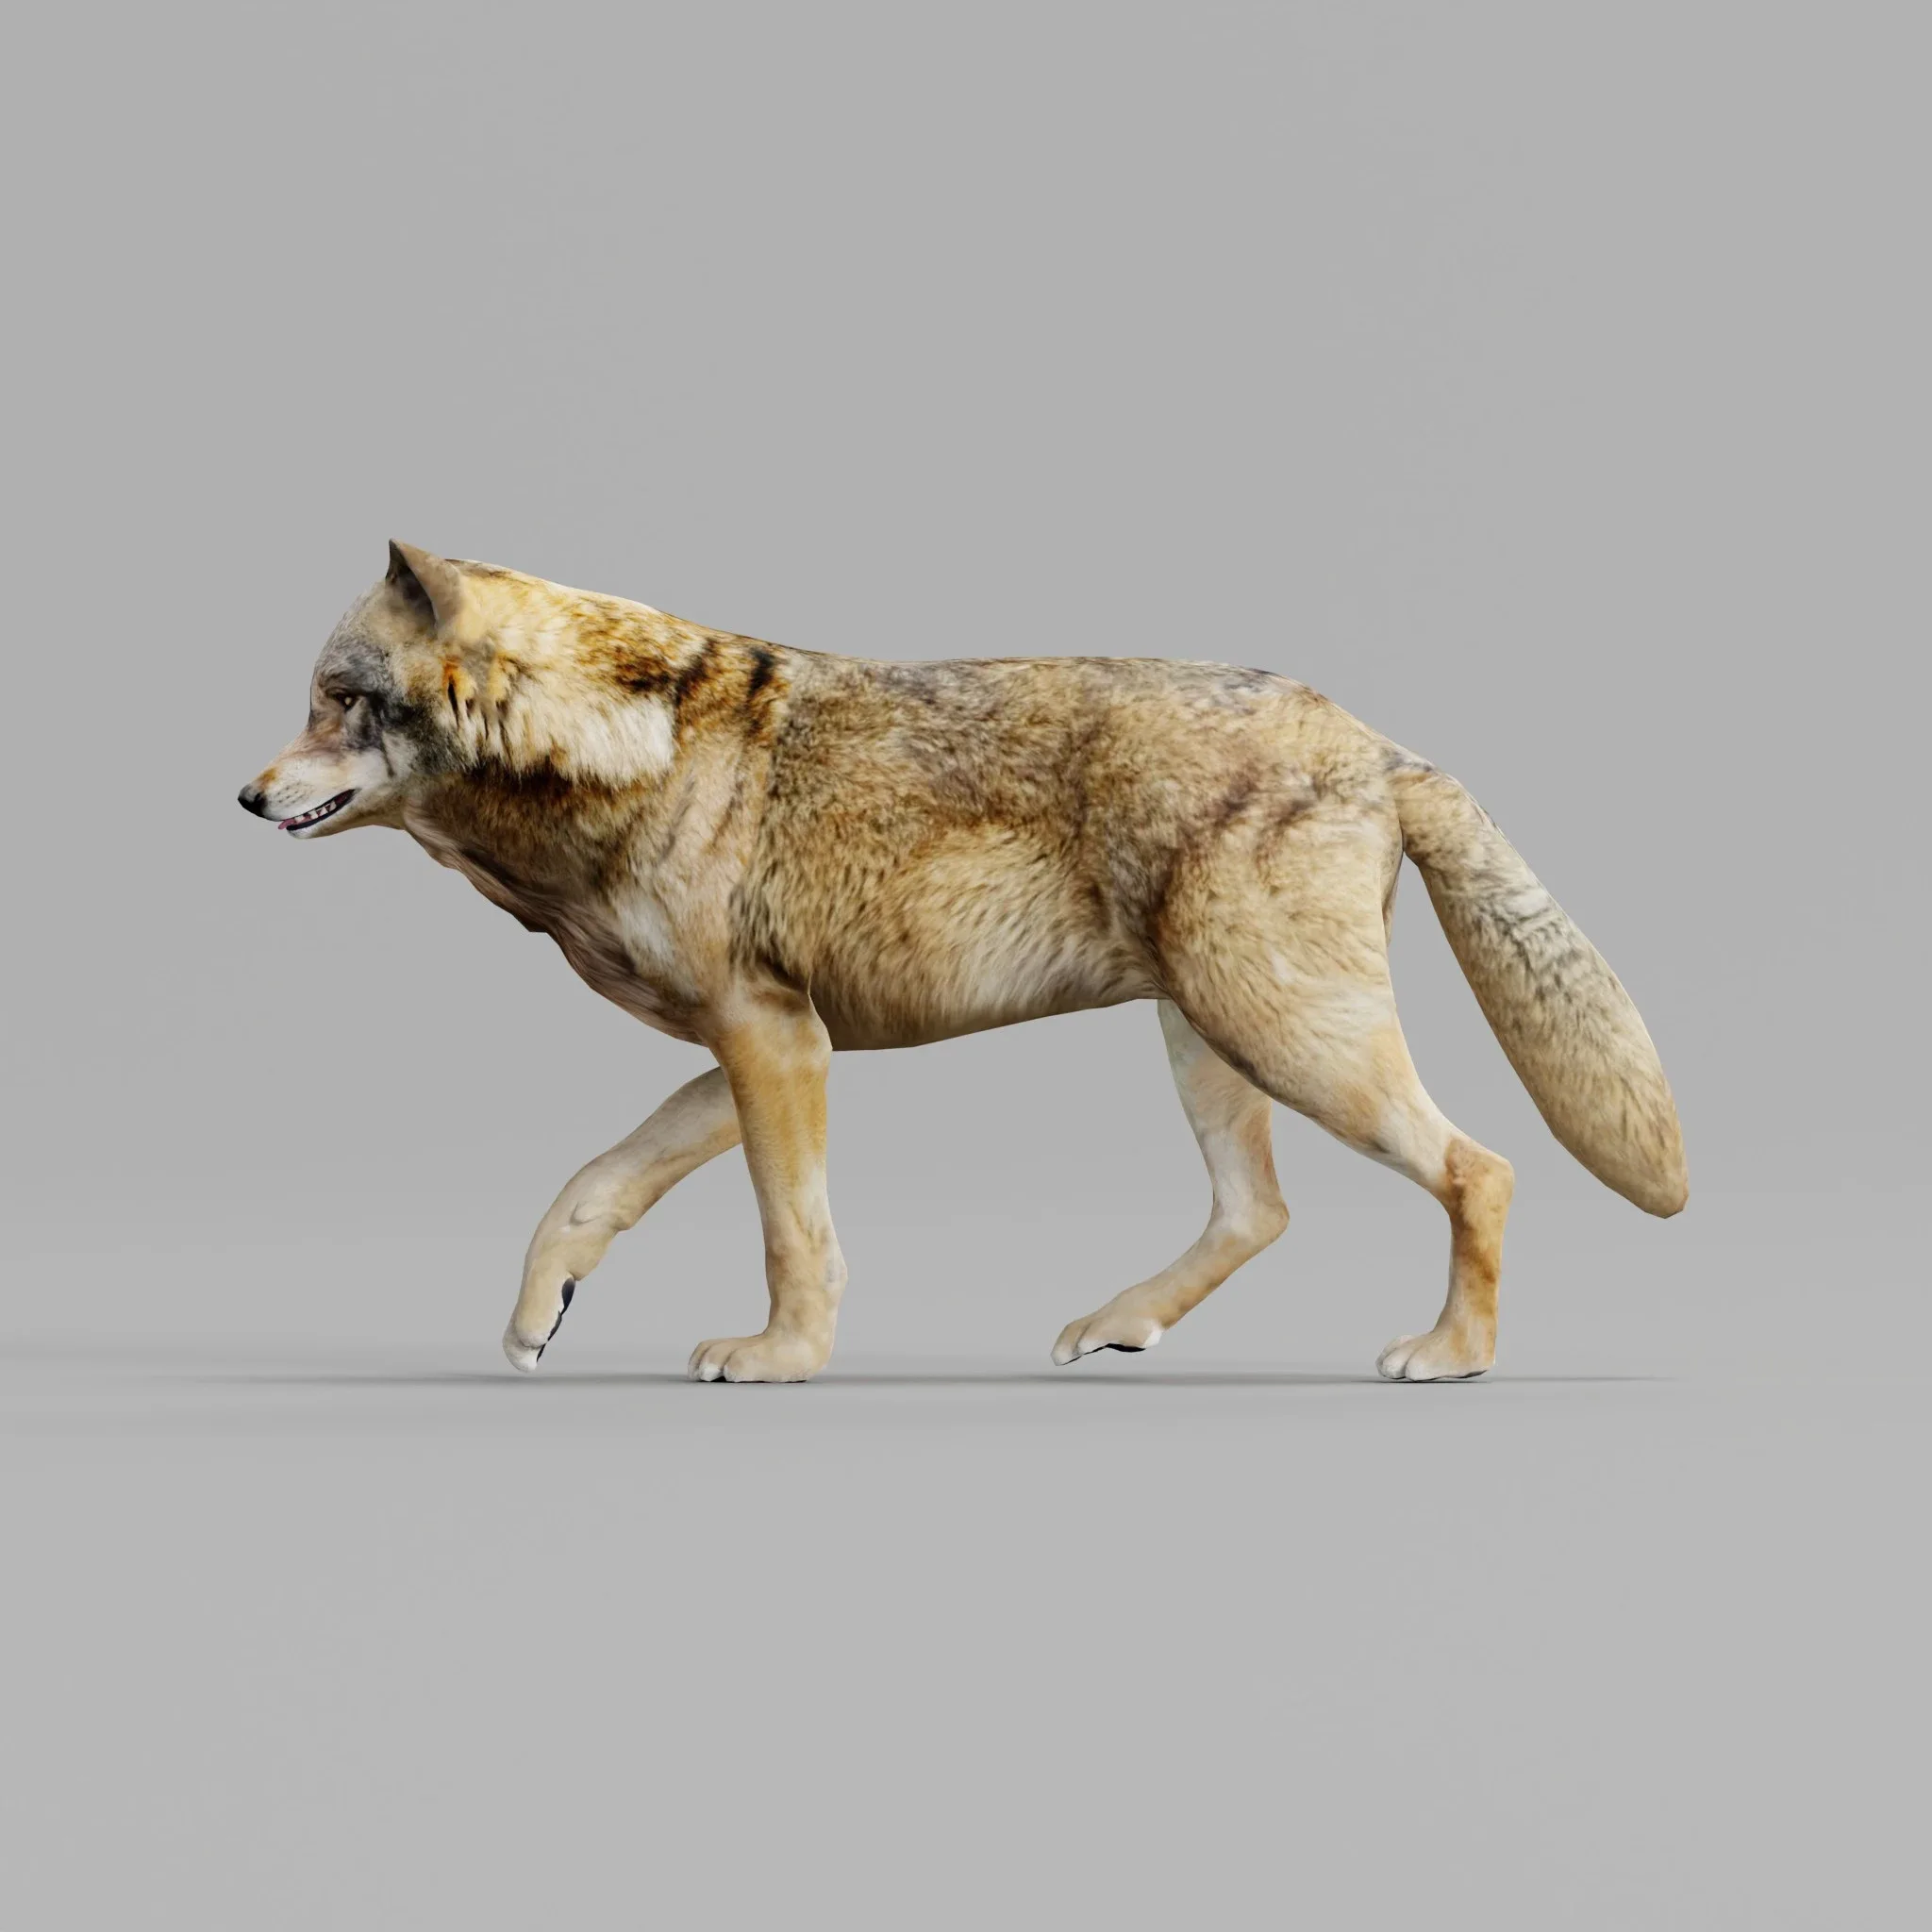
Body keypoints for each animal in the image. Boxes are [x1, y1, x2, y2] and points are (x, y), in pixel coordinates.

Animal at [239, 543, 1686, 1383]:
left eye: (333, 700)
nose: (243, 797)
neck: (622, 754)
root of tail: (1382, 742)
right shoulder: (762, 1041)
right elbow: (589, 1187)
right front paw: (540, 1316)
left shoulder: (772, 1042)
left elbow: (793, 1234)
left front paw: (785, 1359)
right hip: (1211, 1039)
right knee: (1259, 1213)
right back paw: (1118, 1325)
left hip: (1285, 1039)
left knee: (1479, 1169)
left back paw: (1452, 1356)